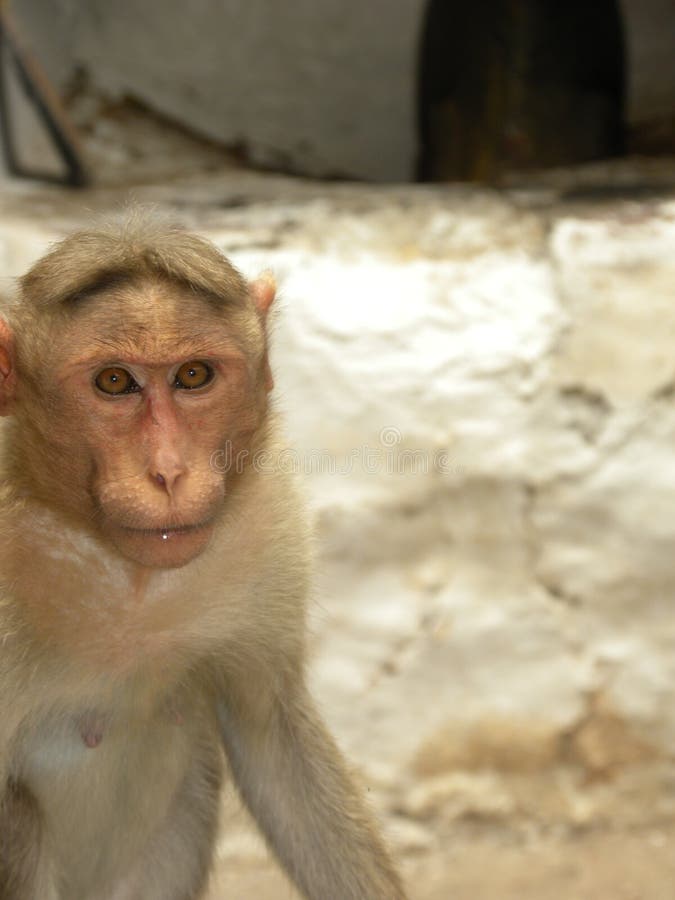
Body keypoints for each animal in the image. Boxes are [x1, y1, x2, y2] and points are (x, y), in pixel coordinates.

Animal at [0, 214, 407, 900]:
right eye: (115, 381)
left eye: (194, 375)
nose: (168, 471)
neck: (129, 575)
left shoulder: (264, 515)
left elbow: (270, 729)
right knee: (19, 816)